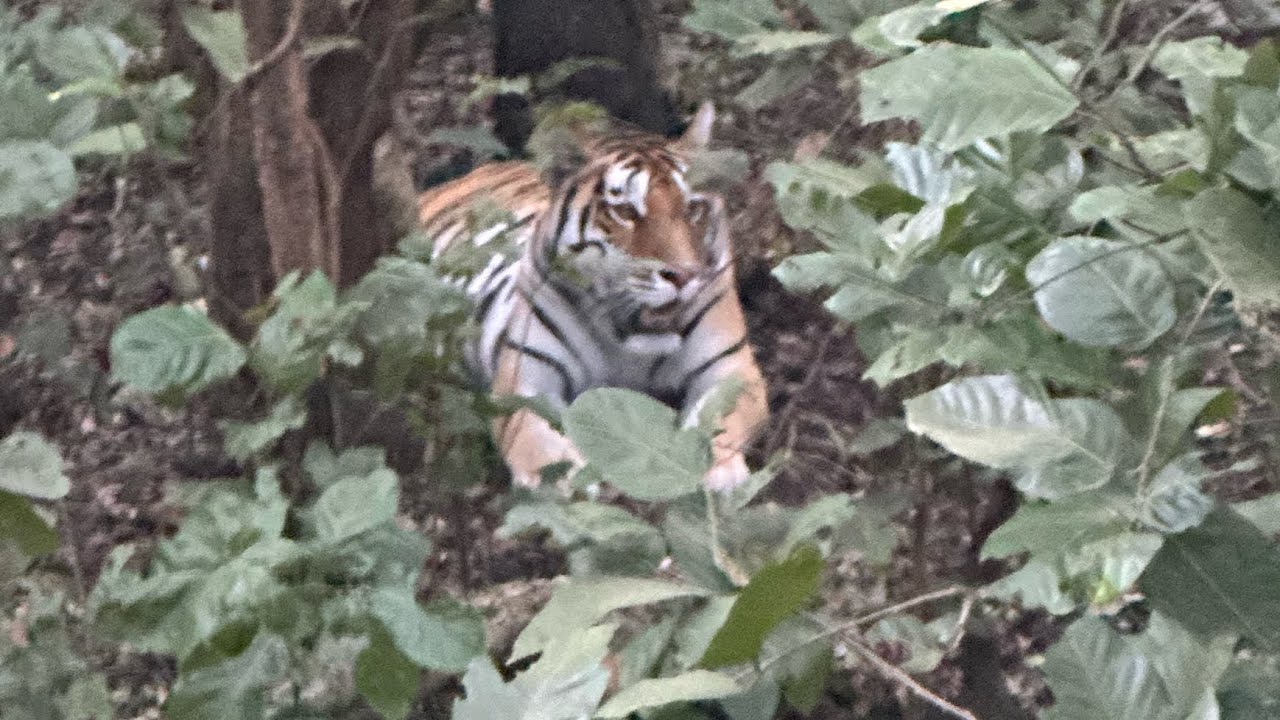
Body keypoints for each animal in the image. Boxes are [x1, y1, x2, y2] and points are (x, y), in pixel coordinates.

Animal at [418, 103, 767, 490]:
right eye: (625, 211)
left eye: (693, 208)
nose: (684, 275)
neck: (630, 336)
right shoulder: (523, 381)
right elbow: (534, 435)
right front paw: (563, 477)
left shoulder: (731, 369)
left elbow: (718, 416)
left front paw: (714, 469)